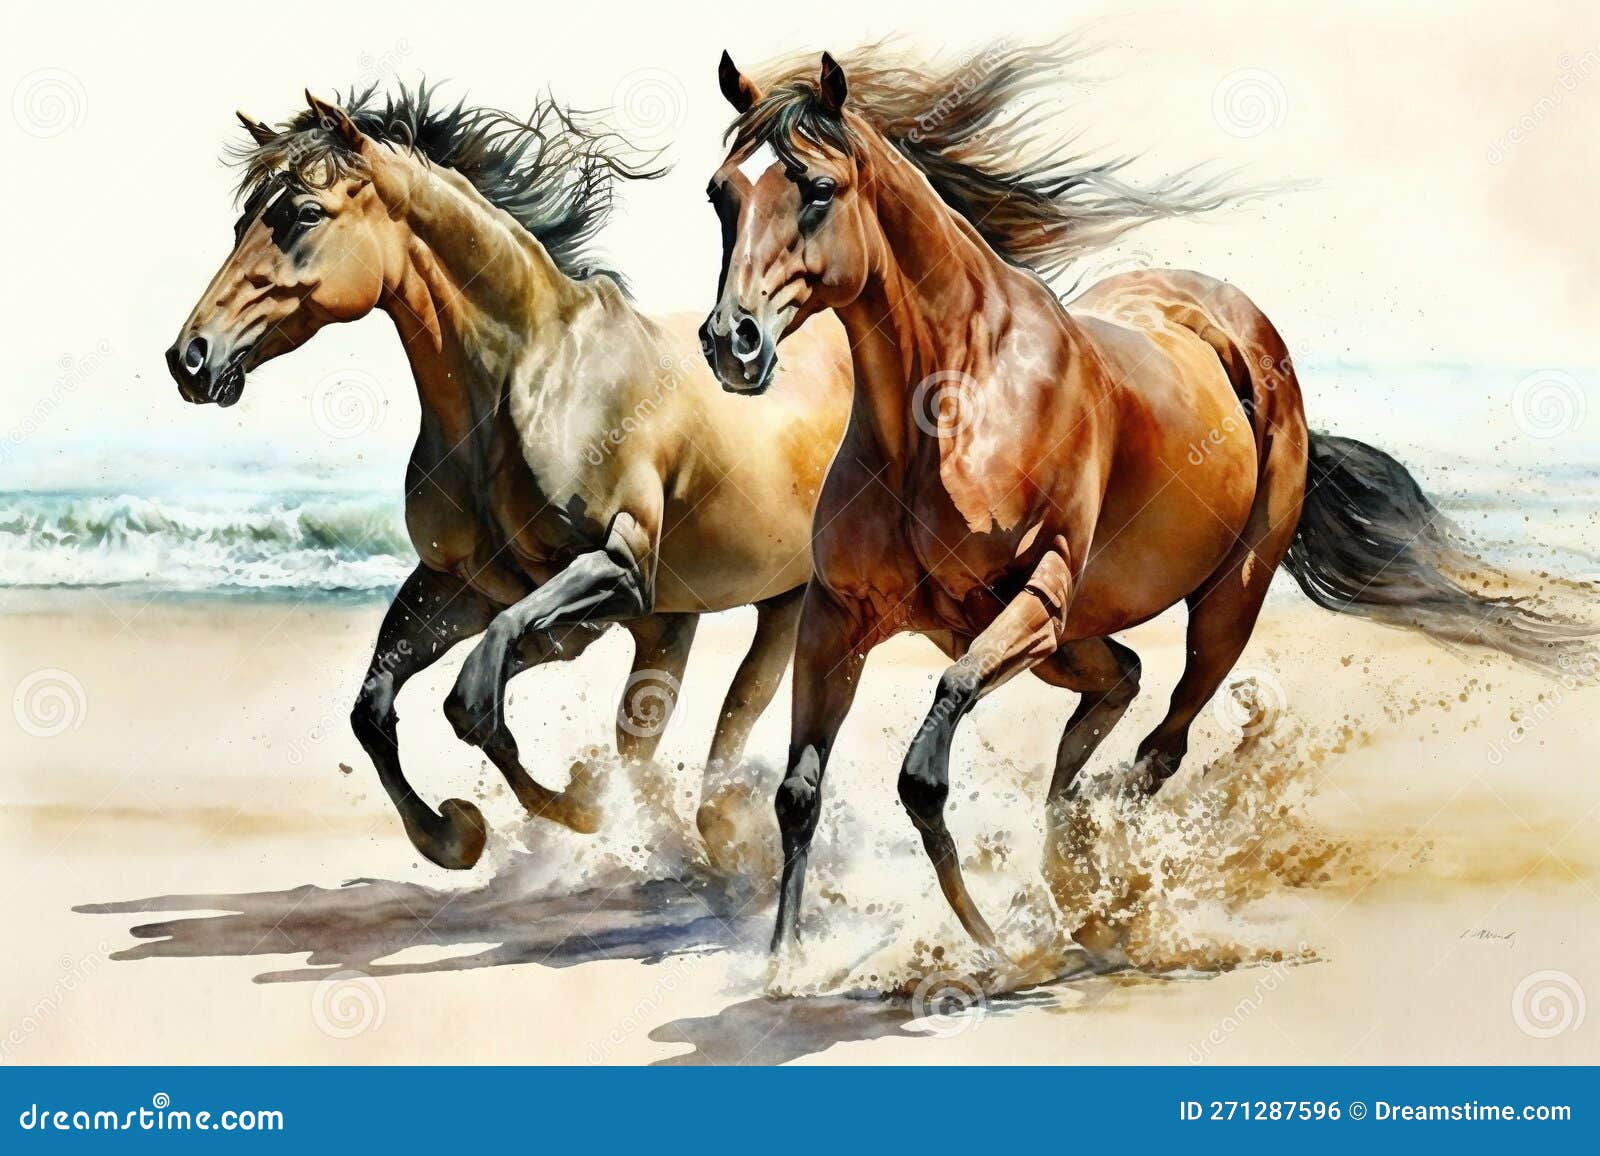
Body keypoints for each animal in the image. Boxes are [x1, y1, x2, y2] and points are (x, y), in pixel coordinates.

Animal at [166, 85, 852, 871]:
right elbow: (379, 707)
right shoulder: (461, 587)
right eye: (244, 219)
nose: (190, 357)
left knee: (716, 725)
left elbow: (473, 697)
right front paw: (453, 835)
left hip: (782, 604)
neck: (526, 383)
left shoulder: (616, 579)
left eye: (305, 213)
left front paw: (573, 808)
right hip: (726, 612)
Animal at [700, 43, 1594, 956]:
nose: (733, 343)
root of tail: (1239, 329)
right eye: (721, 192)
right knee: (1116, 690)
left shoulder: (1038, 597)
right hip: (1067, 643)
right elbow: (799, 794)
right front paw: (785, 964)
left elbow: (926, 763)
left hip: (1220, 608)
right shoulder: (837, 617)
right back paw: (1073, 875)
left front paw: (988, 938)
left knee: (1160, 744)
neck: (950, 405)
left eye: (816, 189)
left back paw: (1095, 873)